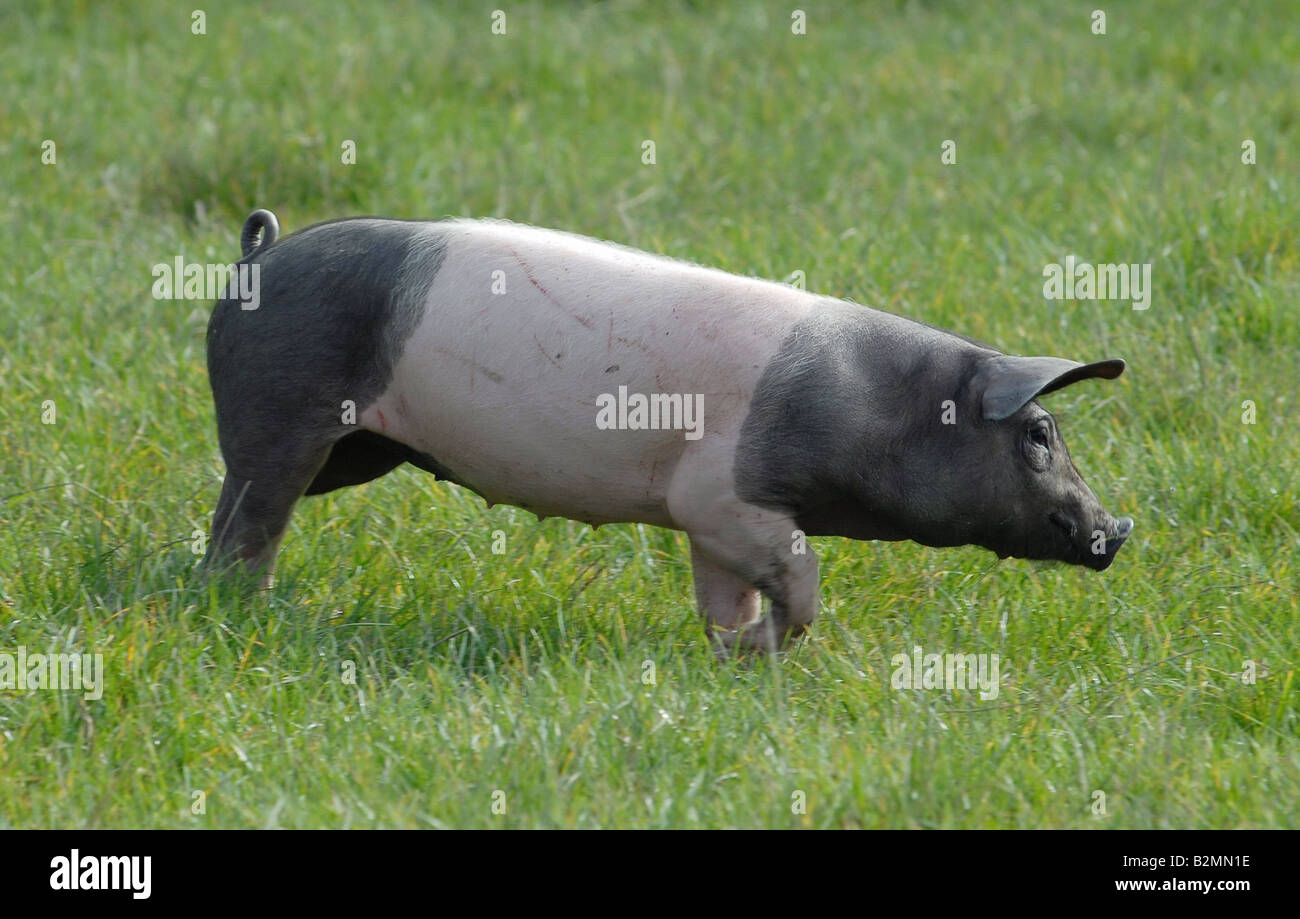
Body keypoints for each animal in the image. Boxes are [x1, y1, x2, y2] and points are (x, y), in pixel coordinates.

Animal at [205, 208, 1133, 653]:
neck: (875, 403)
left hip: (358, 449)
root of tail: (259, 253)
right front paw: (764, 645)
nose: (1118, 528)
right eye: (1040, 433)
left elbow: (723, 595)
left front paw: (735, 654)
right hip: (282, 410)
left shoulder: (711, 526)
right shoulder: (722, 495)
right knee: (246, 518)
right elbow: (800, 575)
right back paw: (246, 607)